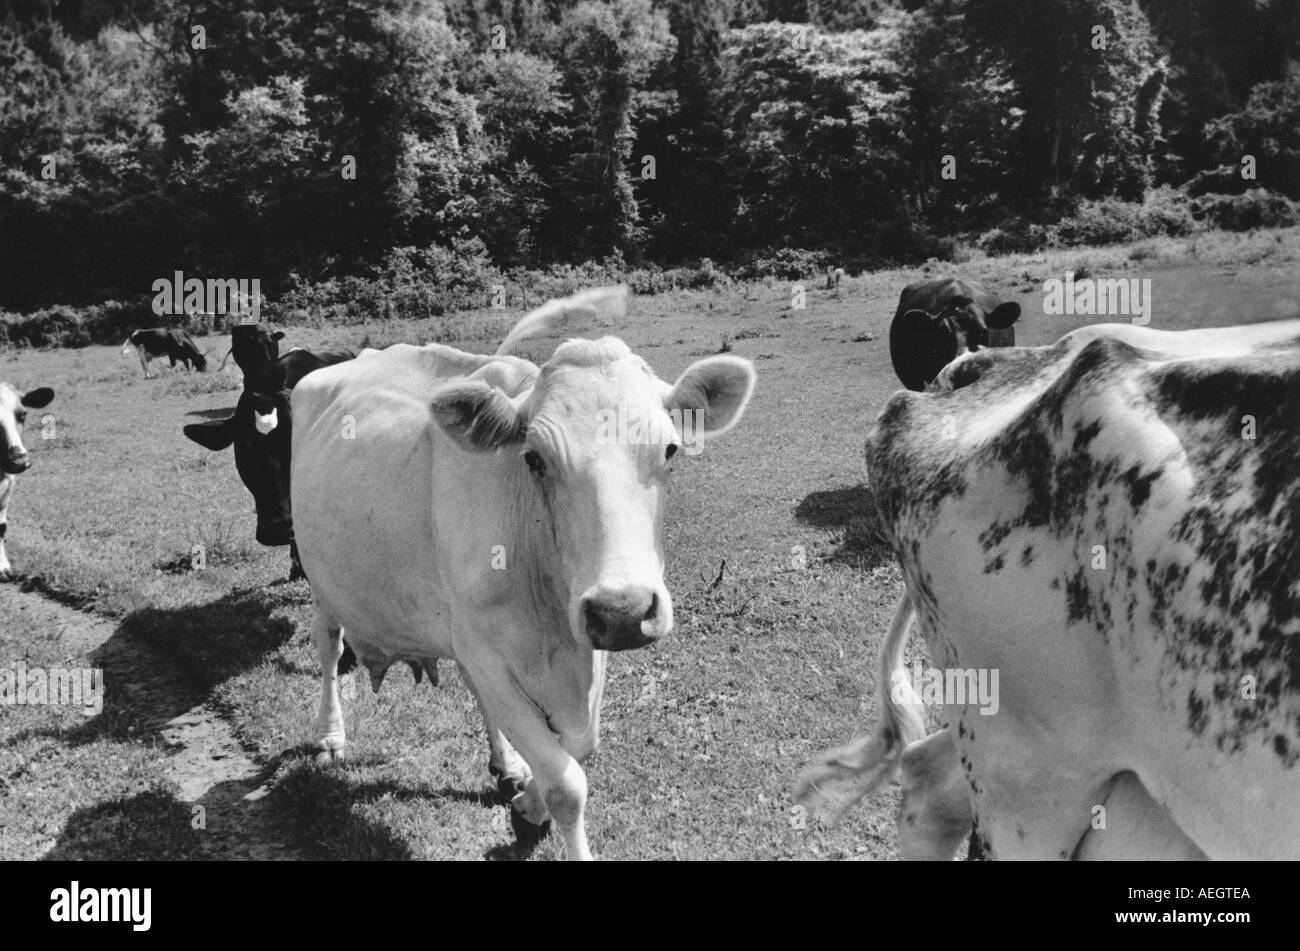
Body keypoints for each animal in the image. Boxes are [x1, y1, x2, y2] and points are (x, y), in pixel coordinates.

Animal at [290, 286, 756, 860]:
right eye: (534, 458)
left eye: (670, 449)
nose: (623, 612)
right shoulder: (488, 650)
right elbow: (567, 783)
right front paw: (540, 806)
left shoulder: (578, 641)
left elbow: (578, 744)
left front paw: (526, 798)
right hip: (323, 585)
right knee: (328, 648)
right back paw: (330, 735)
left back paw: (507, 764)